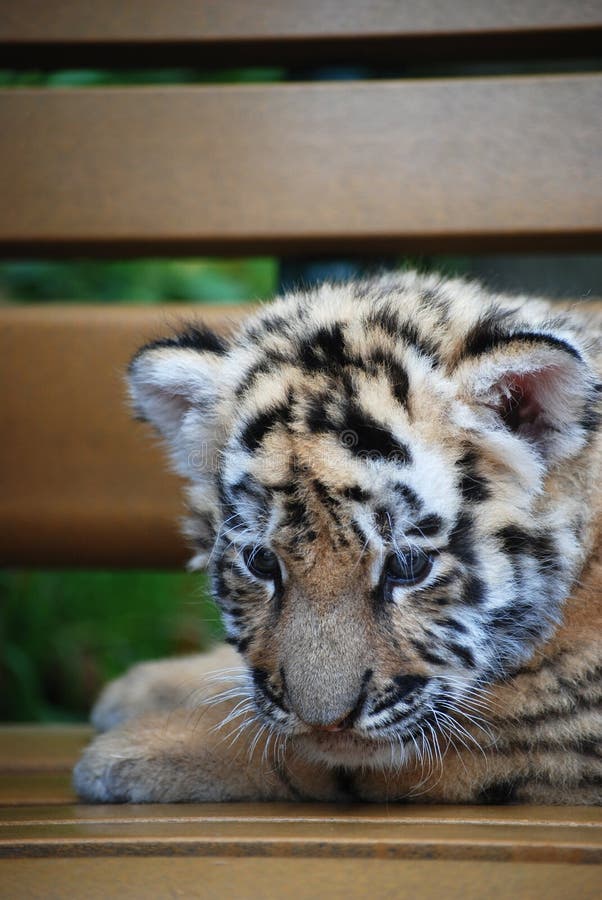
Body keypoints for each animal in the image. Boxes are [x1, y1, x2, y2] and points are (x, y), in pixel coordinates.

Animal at [74, 270, 602, 805]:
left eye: (408, 566)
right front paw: (143, 687)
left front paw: (129, 750)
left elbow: (296, 754)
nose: (325, 722)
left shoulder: (550, 722)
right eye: (261, 562)